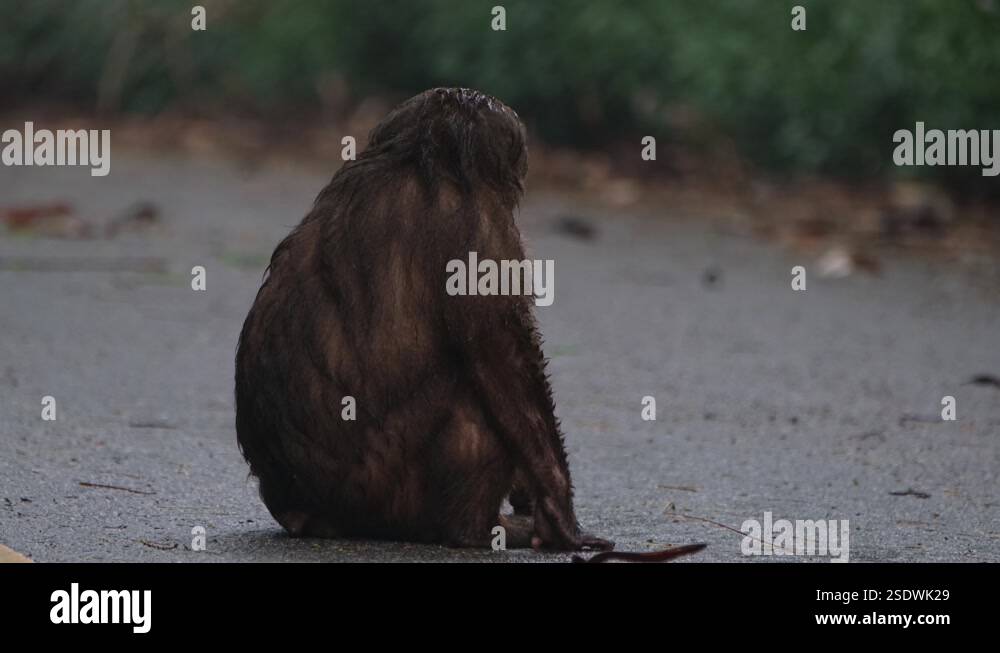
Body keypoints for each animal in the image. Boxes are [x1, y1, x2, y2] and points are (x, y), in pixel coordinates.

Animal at [235, 87, 613, 551]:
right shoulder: (481, 224)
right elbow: (504, 361)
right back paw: (477, 529)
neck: (414, 163)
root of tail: (302, 514)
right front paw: (558, 508)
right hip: (387, 496)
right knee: (477, 400)